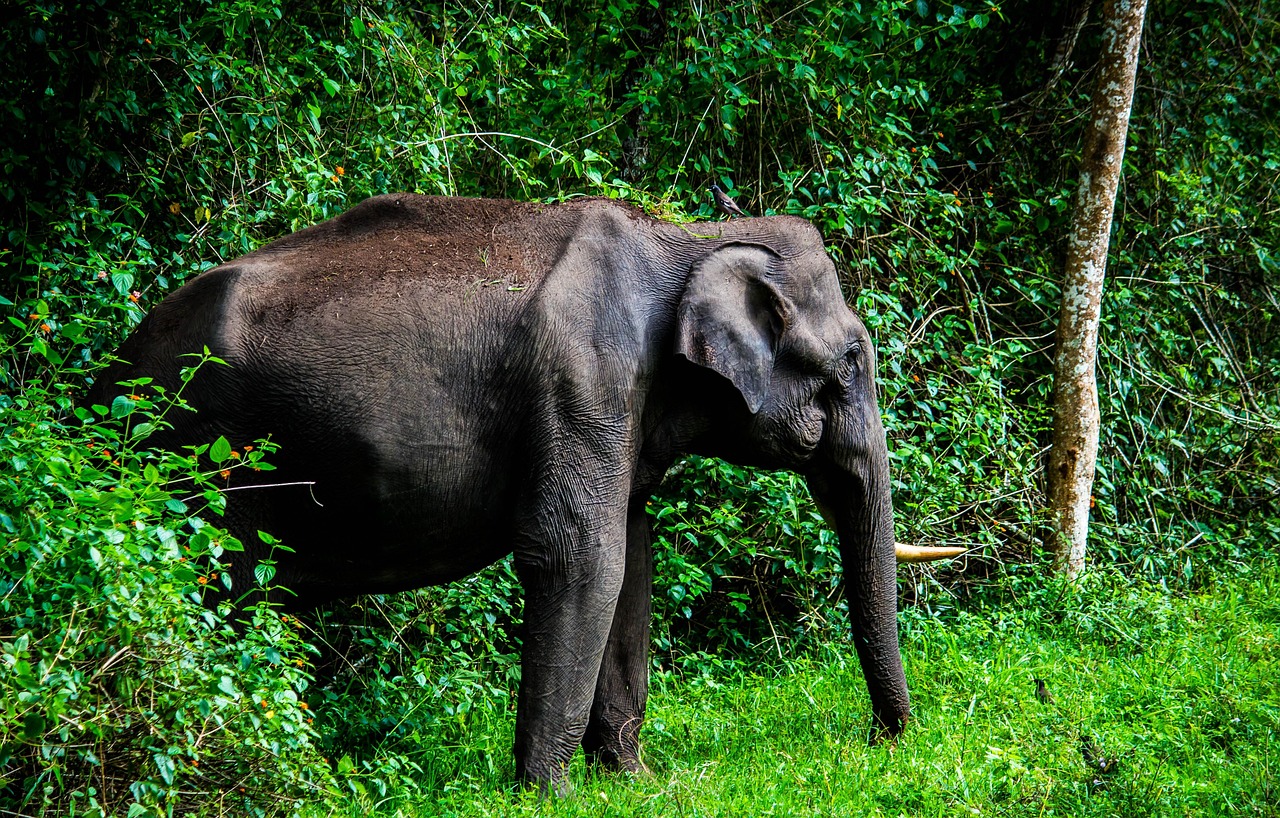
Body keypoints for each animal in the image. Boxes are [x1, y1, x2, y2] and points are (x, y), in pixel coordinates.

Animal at [87, 193, 960, 790]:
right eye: (851, 362)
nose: (882, 741)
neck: (686, 239)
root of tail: (104, 378)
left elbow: (632, 560)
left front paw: (632, 781)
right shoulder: (582, 381)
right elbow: (580, 556)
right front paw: (551, 792)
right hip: (196, 460)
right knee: (220, 593)